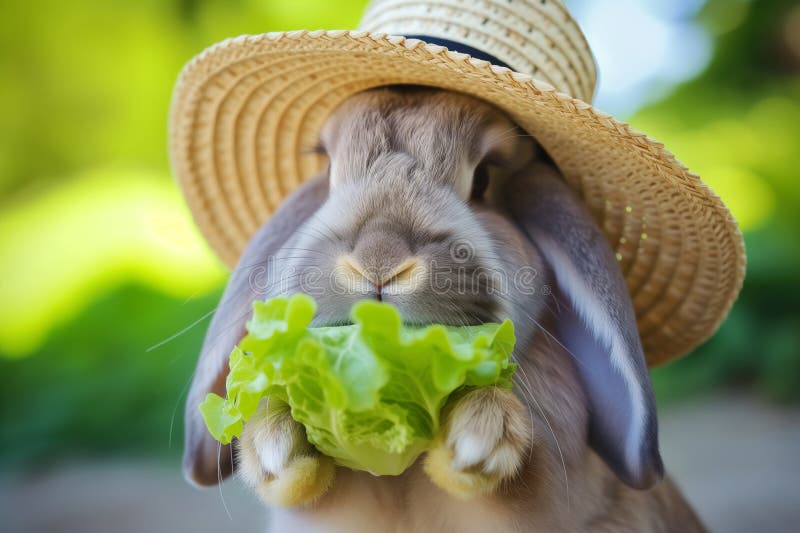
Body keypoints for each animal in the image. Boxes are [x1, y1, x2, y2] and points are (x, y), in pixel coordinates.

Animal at [182, 86, 707, 532]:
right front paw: (274, 448)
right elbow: (299, 481)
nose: (379, 260)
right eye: (328, 172)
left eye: (485, 178)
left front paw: (479, 437)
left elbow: (511, 480)